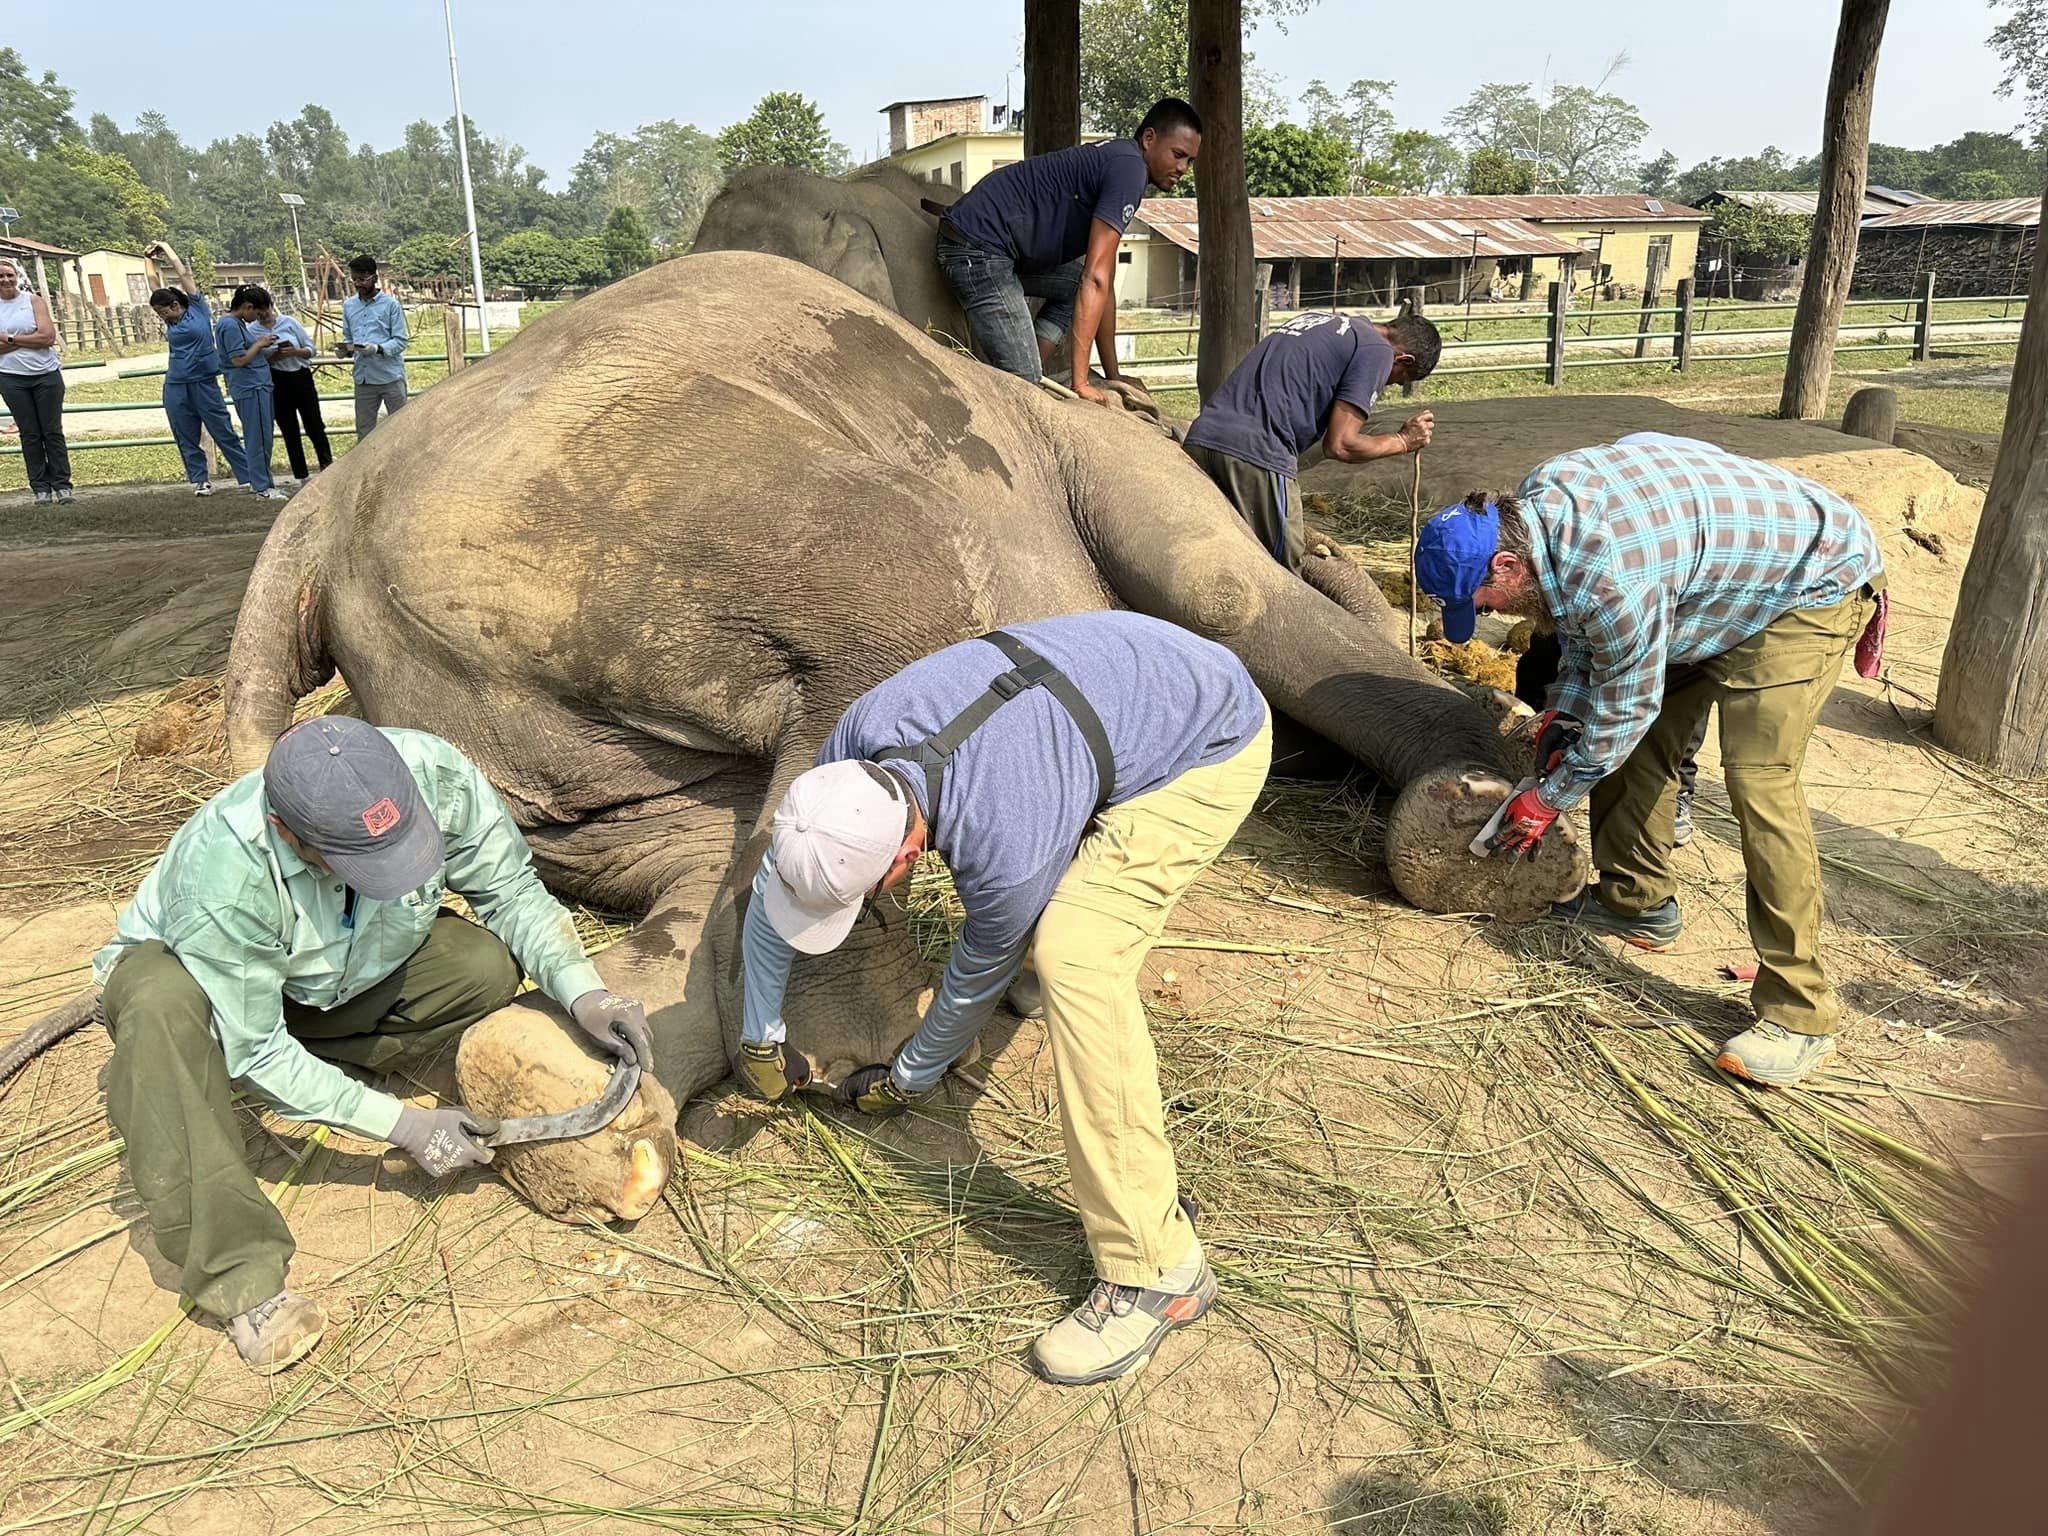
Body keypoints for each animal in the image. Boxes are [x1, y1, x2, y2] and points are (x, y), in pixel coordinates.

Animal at [211, 250, 1582, 1224]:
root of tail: (320, 515)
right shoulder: (1107, 459)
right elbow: (1235, 596)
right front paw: (1488, 827)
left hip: (508, 714)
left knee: (686, 844)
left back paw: (567, 1109)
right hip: (632, 516)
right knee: (882, 609)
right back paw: (867, 1035)